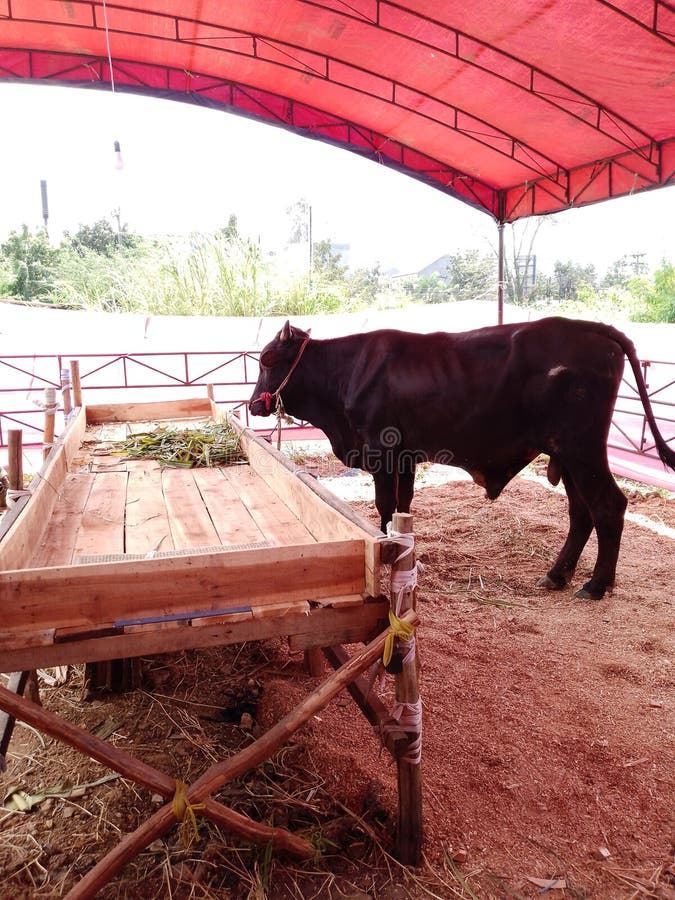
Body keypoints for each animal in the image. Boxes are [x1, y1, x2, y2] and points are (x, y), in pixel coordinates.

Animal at [249, 318, 675, 600]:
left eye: (267, 359)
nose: (254, 404)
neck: (346, 374)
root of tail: (588, 326)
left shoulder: (382, 451)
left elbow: (385, 505)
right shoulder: (406, 456)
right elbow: (403, 506)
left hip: (582, 450)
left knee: (608, 507)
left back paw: (596, 585)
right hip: (566, 454)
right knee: (580, 512)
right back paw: (557, 575)